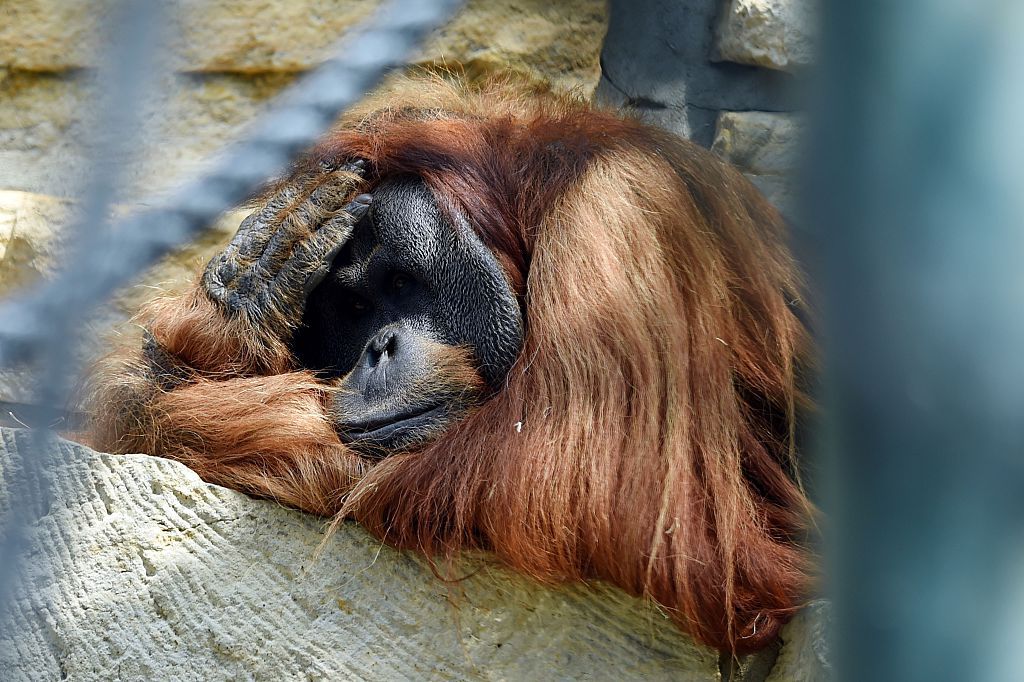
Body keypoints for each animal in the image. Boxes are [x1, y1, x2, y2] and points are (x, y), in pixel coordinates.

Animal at [87, 75, 815, 653]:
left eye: (403, 284)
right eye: (354, 308)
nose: (378, 348)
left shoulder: (621, 216)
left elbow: (586, 487)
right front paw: (235, 312)